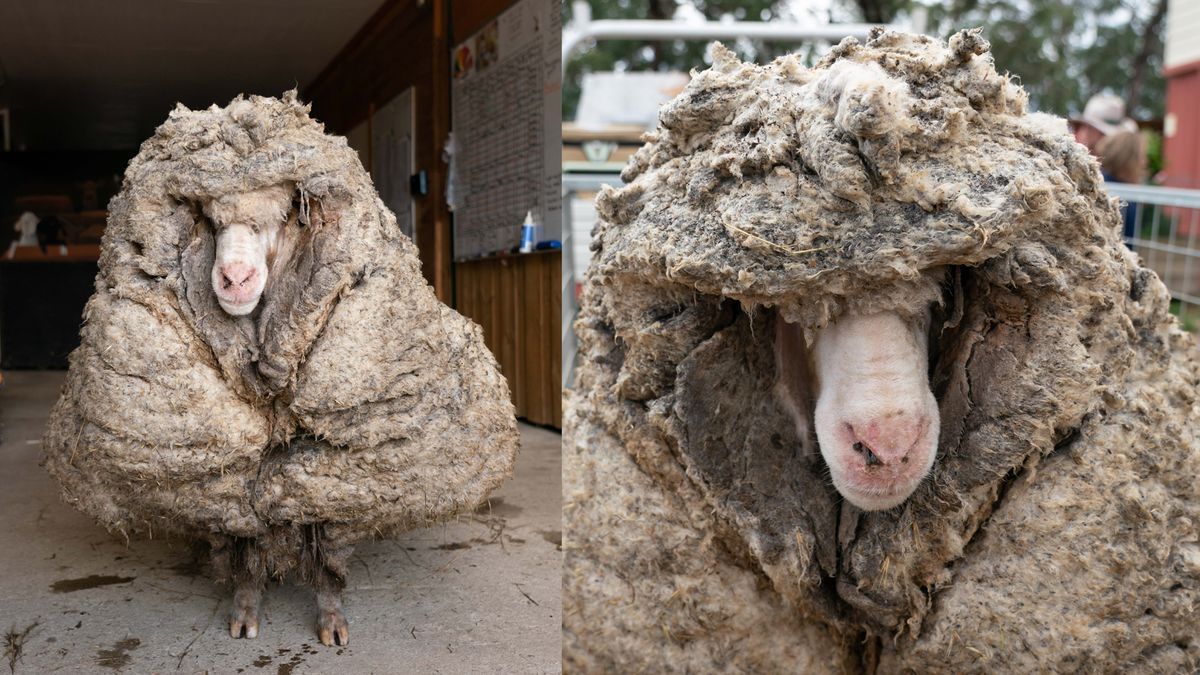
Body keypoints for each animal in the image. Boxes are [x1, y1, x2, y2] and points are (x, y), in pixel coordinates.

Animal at [42, 92, 519, 647]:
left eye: (288, 215)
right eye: (208, 220)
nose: (234, 278)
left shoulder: (336, 469)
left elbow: (326, 532)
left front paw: (331, 616)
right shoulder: (225, 483)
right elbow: (241, 536)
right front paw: (246, 608)